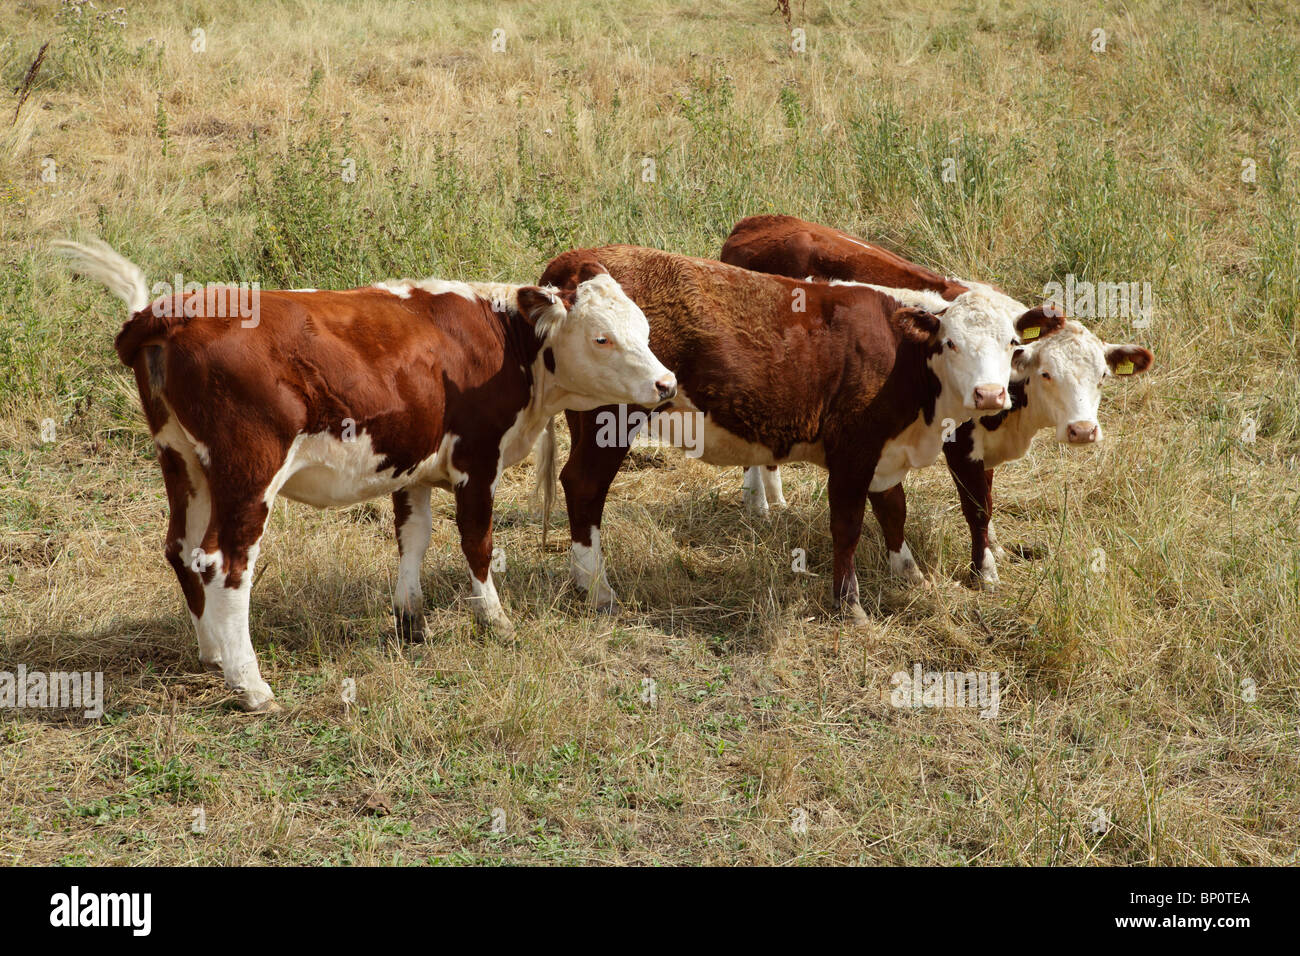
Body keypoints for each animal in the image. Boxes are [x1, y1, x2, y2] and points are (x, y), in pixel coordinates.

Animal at [54, 239, 675, 711]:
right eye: (601, 336)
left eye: (646, 329)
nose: (667, 383)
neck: (505, 341)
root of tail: (170, 313)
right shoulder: (477, 462)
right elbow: (477, 543)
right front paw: (496, 621)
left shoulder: (414, 464)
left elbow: (413, 537)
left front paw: (410, 619)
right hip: (248, 475)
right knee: (222, 563)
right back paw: (251, 685)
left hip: (183, 462)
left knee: (181, 551)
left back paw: (214, 655)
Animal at [537, 245, 1061, 619]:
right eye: (951, 343)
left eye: (1012, 343)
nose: (989, 395)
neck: (900, 351)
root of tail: (572, 264)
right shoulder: (852, 451)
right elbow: (848, 526)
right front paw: (849, 604)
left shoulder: (885, 452)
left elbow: (893, 511)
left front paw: (908, 573)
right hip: (610, 419)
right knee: (584, 487)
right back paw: (597, 589)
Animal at [721, 214, 1153, 587]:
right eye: (1047, 373)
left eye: (1101, 377)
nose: (1083, 430)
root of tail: (756, 222)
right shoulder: (959, 446)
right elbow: (975, 506)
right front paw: (985, 572)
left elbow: (988, 501)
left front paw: (995, 547)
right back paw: (757, 504)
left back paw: (776, 499)